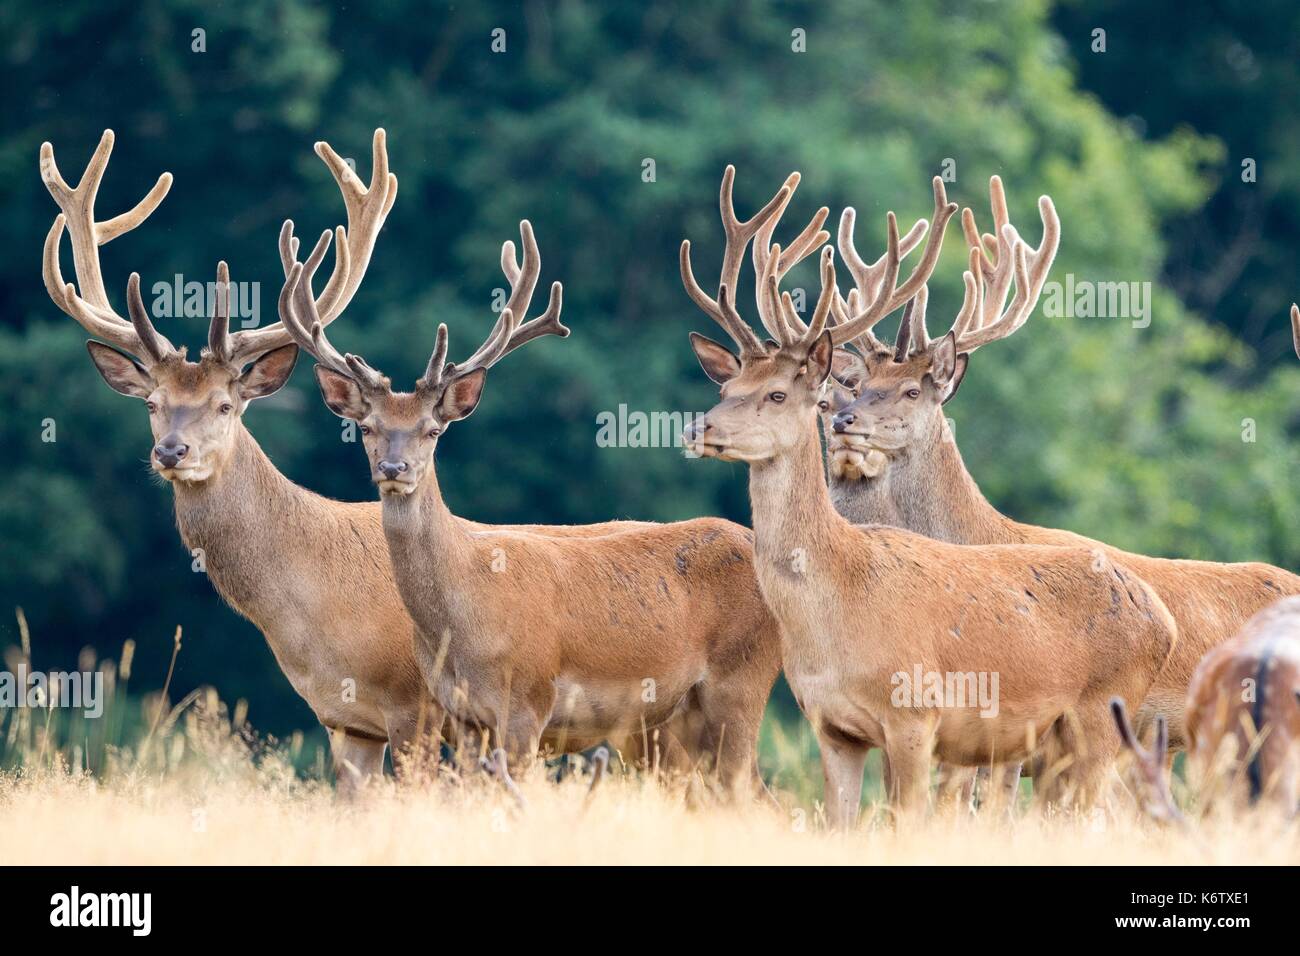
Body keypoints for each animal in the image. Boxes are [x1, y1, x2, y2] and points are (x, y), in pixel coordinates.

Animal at [276, 209, 783, 795]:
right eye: (366, 428)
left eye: (432, 430)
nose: (394, 469)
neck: (463, 623)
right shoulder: (463, 717)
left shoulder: (526, 702)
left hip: (740, 681)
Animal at [679, 167, 1179, 826]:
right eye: (728, 387)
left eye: (780, 394)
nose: (697, 428)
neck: (839, 600)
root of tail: (1162, 618)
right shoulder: (831, 727)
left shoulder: (916, 715)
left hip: (1103, 718)